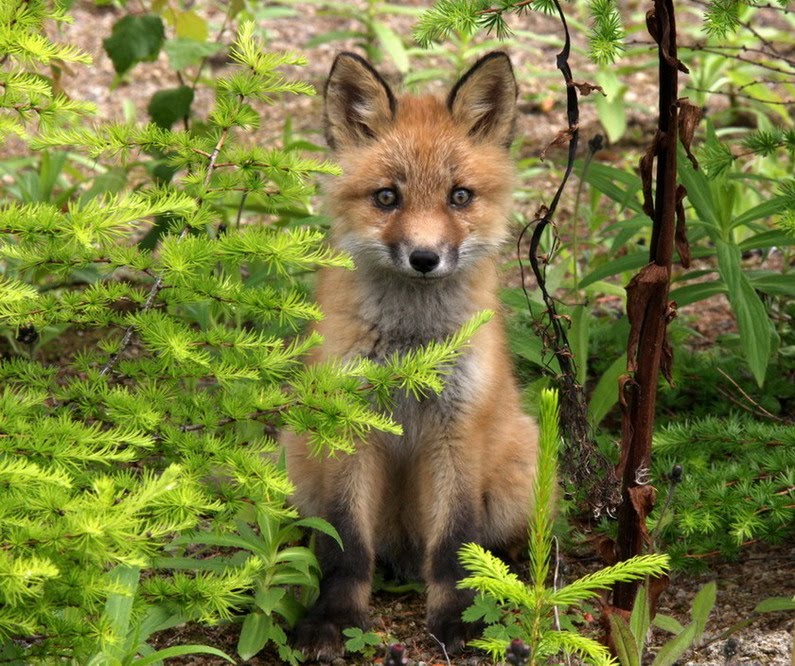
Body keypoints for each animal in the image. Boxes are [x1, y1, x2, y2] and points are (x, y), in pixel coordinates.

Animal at [284, 51, 539, 660]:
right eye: (386, 197)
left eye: (459, 196)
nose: (425, 258)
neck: (410, 353)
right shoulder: (347, 425)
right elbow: (345, 546)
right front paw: (334, 619)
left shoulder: (458, 427)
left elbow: (455, 545)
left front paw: (462, 617)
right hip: (297, 458)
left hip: (520, 469)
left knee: (492, 542)